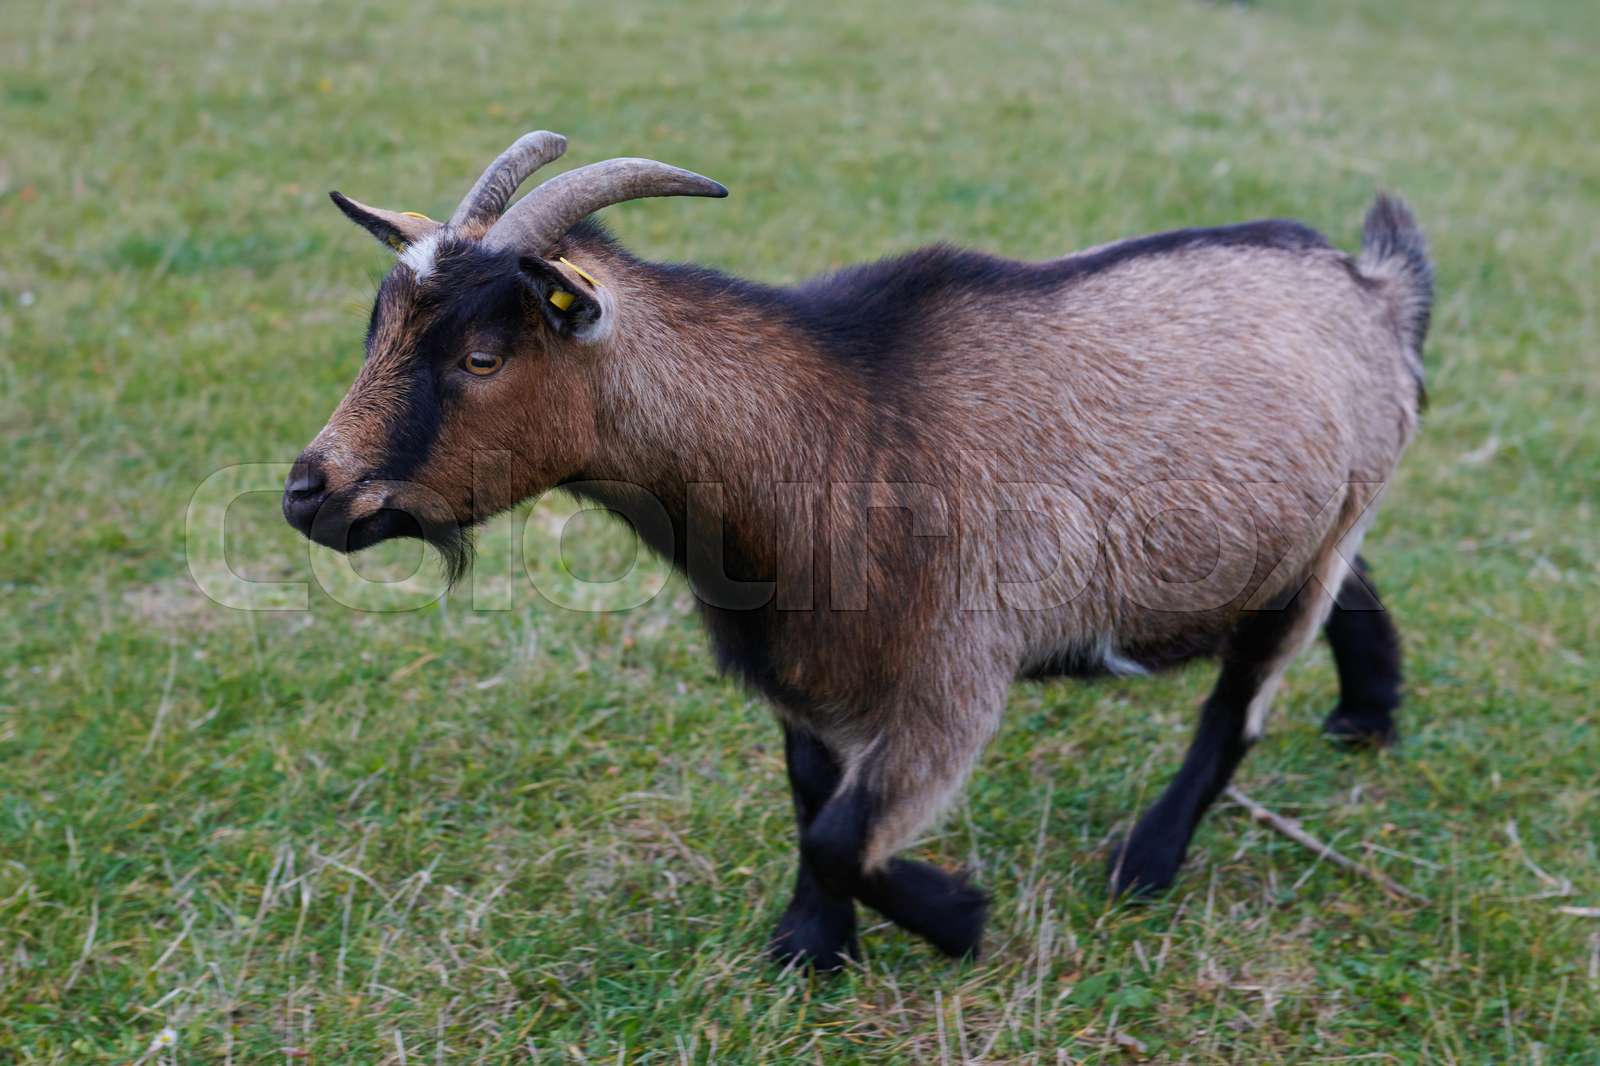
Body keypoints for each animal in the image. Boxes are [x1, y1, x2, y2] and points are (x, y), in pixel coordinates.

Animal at [283, 131, 1432, 969]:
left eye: (482, 356)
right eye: (378, 329)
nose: (310, 491)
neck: (830, 421)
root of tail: (1374, 285)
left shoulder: (953, 672)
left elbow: (842, 831)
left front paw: (960, 916)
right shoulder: (803, 656)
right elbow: (807, 795)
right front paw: (812, 944)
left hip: (1327, 529)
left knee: (1238, 705)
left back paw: (1144, 864)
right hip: (1305, 528)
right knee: (1351, 594)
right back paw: (1367, 714)